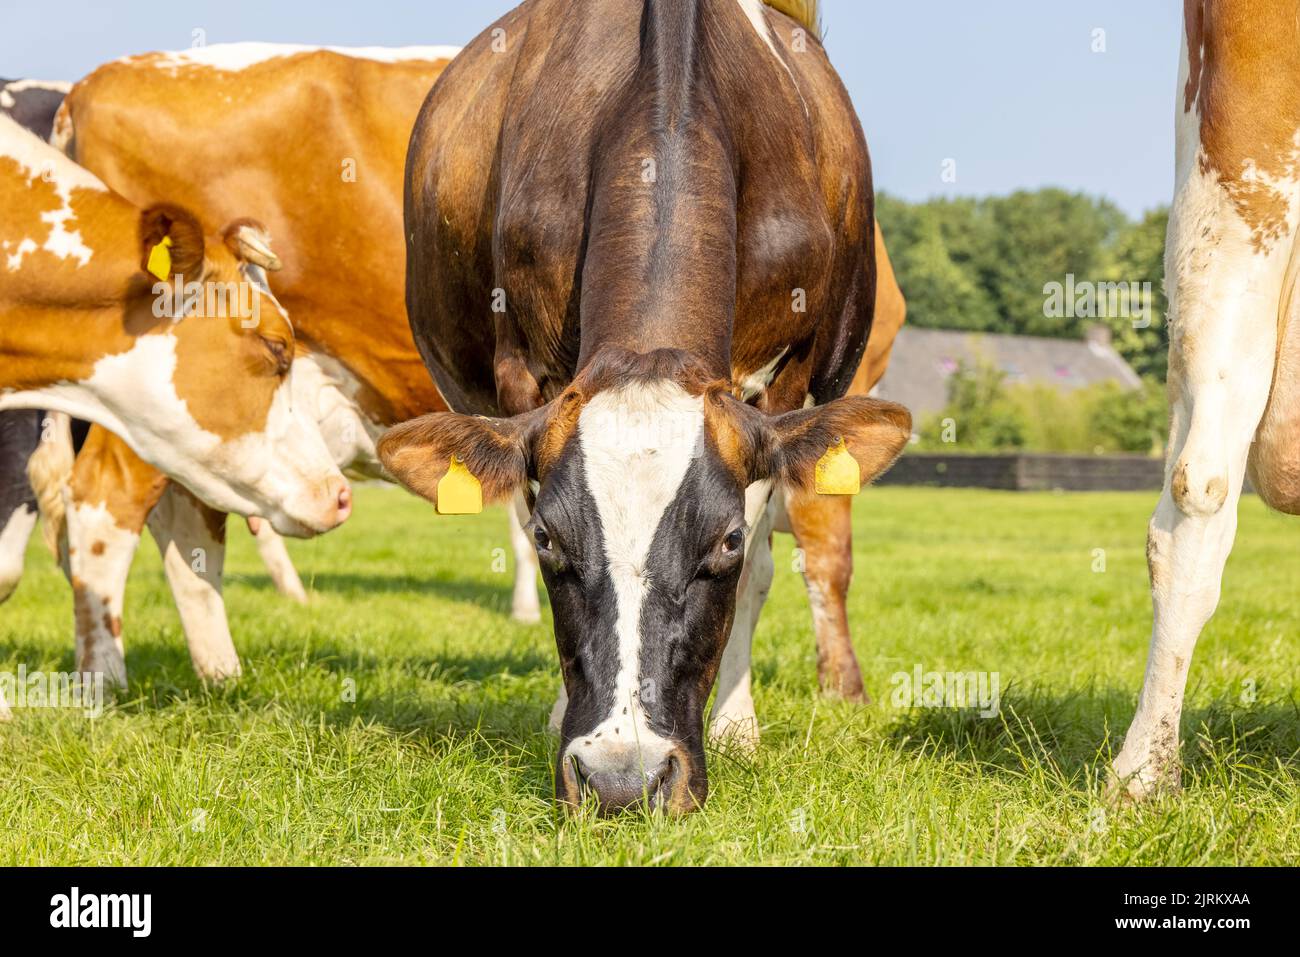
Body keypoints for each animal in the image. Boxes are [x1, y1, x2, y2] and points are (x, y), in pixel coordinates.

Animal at [383, 0, 912, 814]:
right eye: (550, 539)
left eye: (722, 541)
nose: (620, 778)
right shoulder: (522, 372)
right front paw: (563, 717)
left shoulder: (781, 383)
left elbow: (756, 566)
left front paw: (734, 725)